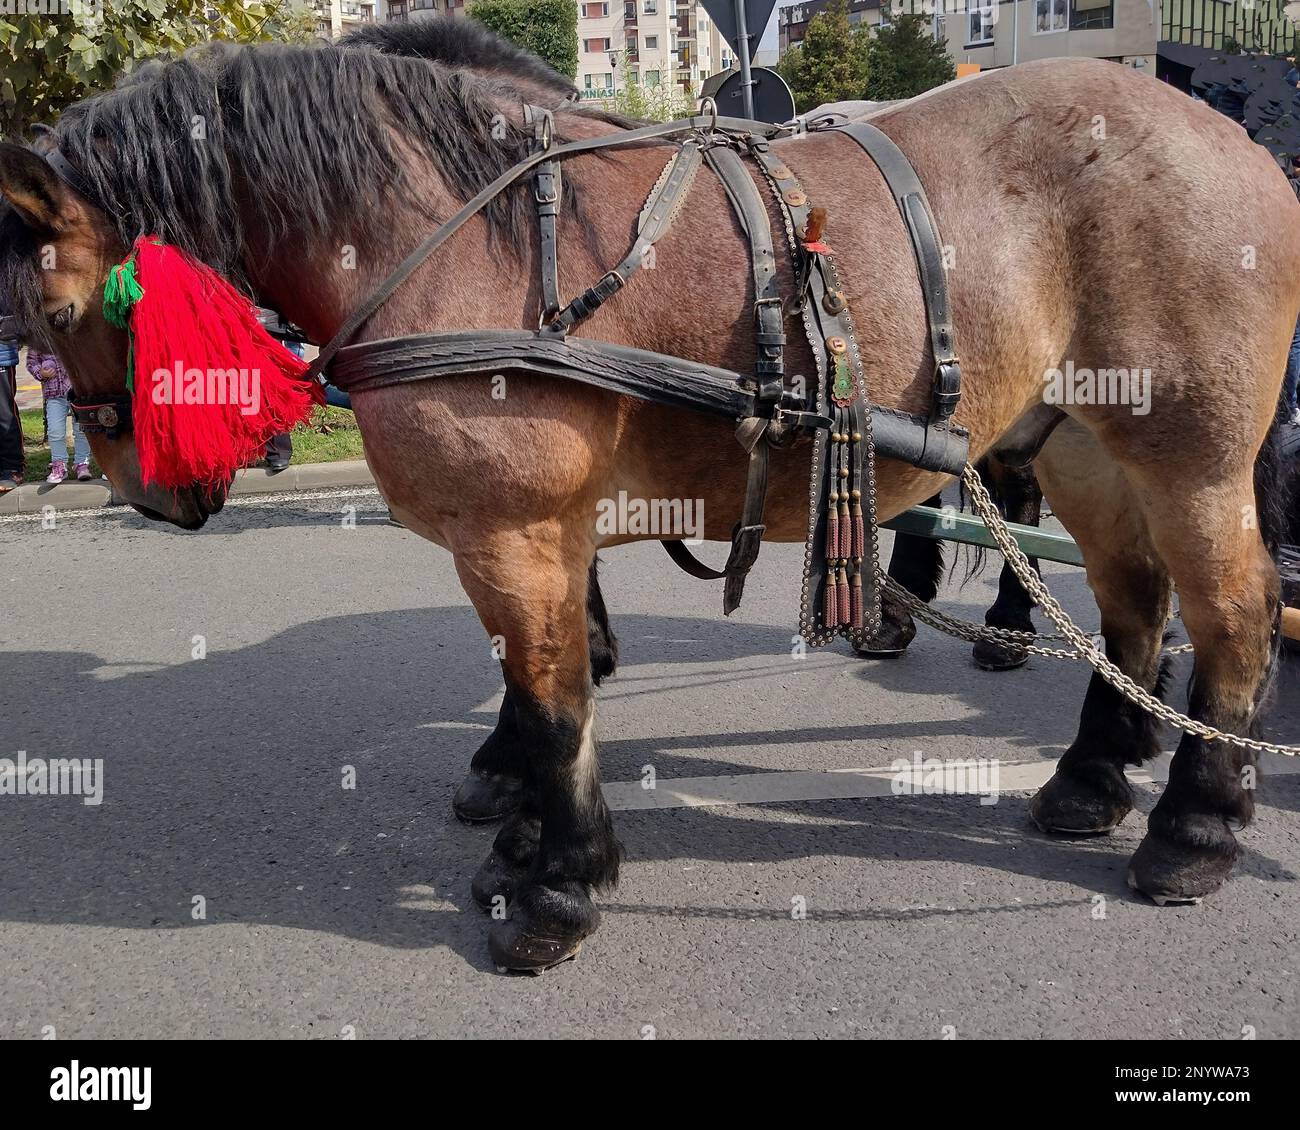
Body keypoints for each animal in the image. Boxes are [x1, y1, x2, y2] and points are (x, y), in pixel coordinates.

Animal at [2, 25, 1295, 971]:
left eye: (54, 312)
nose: (150, 496)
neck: (460, 238)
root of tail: (1229, 136)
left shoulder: (514, 533)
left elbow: (554, 702)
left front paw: (554, 888)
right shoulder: (536, 538)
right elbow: (545, 691)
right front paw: (517, 840)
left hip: (1186, 454)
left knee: (1231, 611)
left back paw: (1193, 826)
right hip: (1080, 442)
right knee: (1133, 603)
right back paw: (1090, 777)